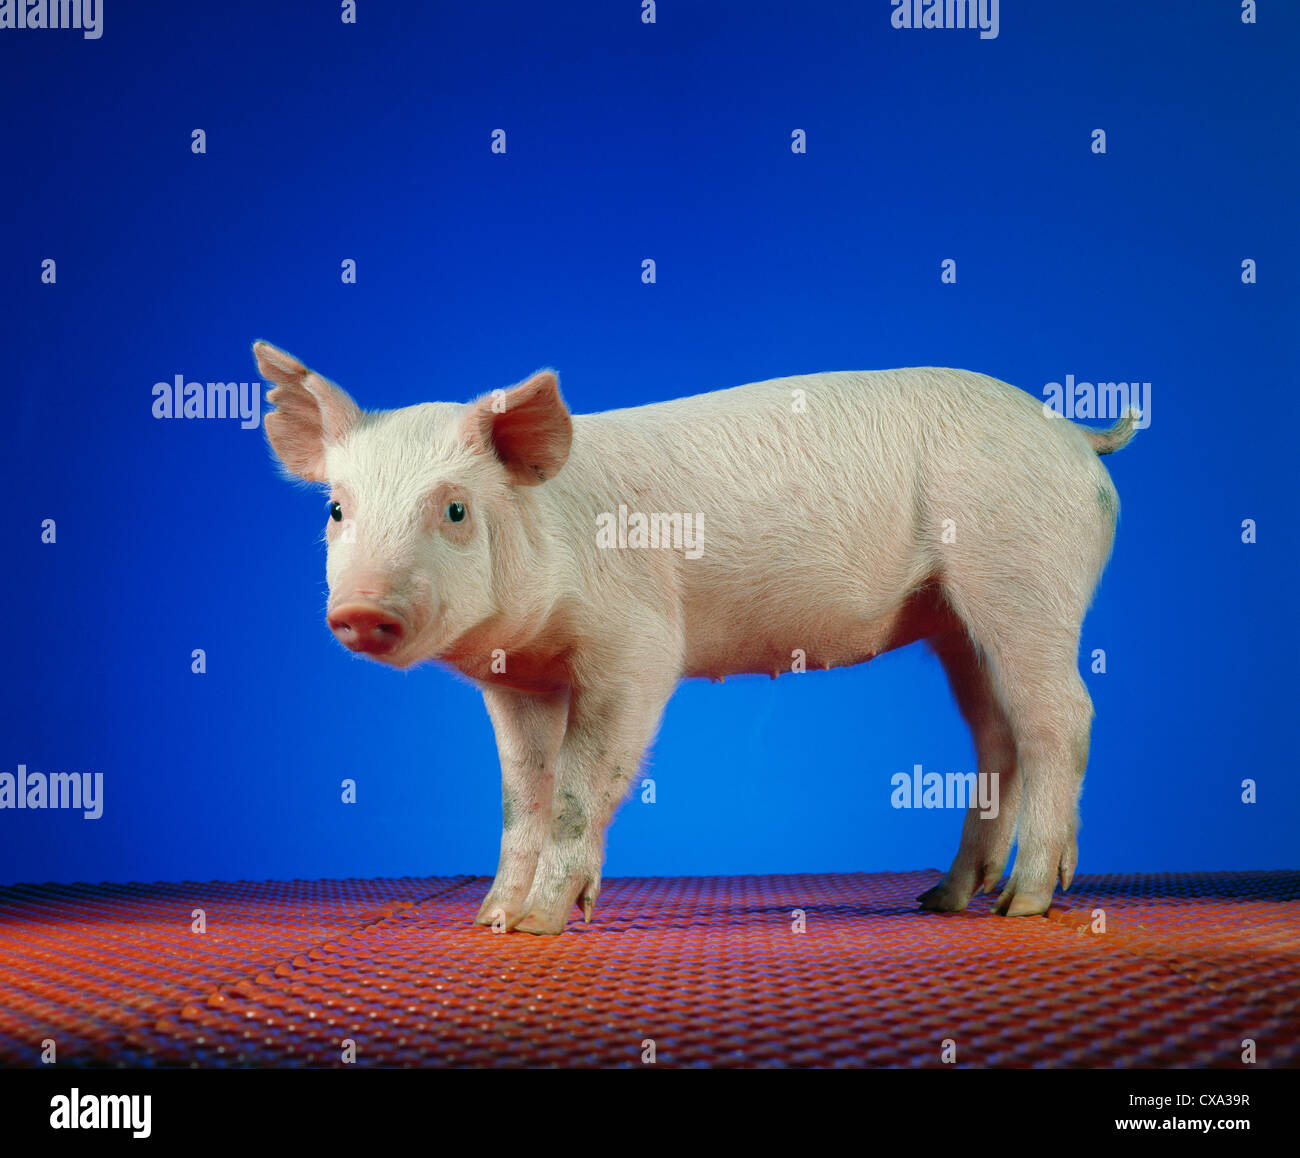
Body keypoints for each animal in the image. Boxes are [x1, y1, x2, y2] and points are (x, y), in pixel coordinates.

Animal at [254, 340, 1137, 935]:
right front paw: (490, 920)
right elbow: (521, 794)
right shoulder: (518, 682)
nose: (359, 610)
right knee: (998, 733)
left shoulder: (636, 649)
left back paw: (1024, 903)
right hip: (958, 619)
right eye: (337, 509)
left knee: (1063, 717)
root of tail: (1076, 435)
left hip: (1025, 574)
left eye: (455, 509)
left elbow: (580, 786)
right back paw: (944, 900)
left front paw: (541, 923)